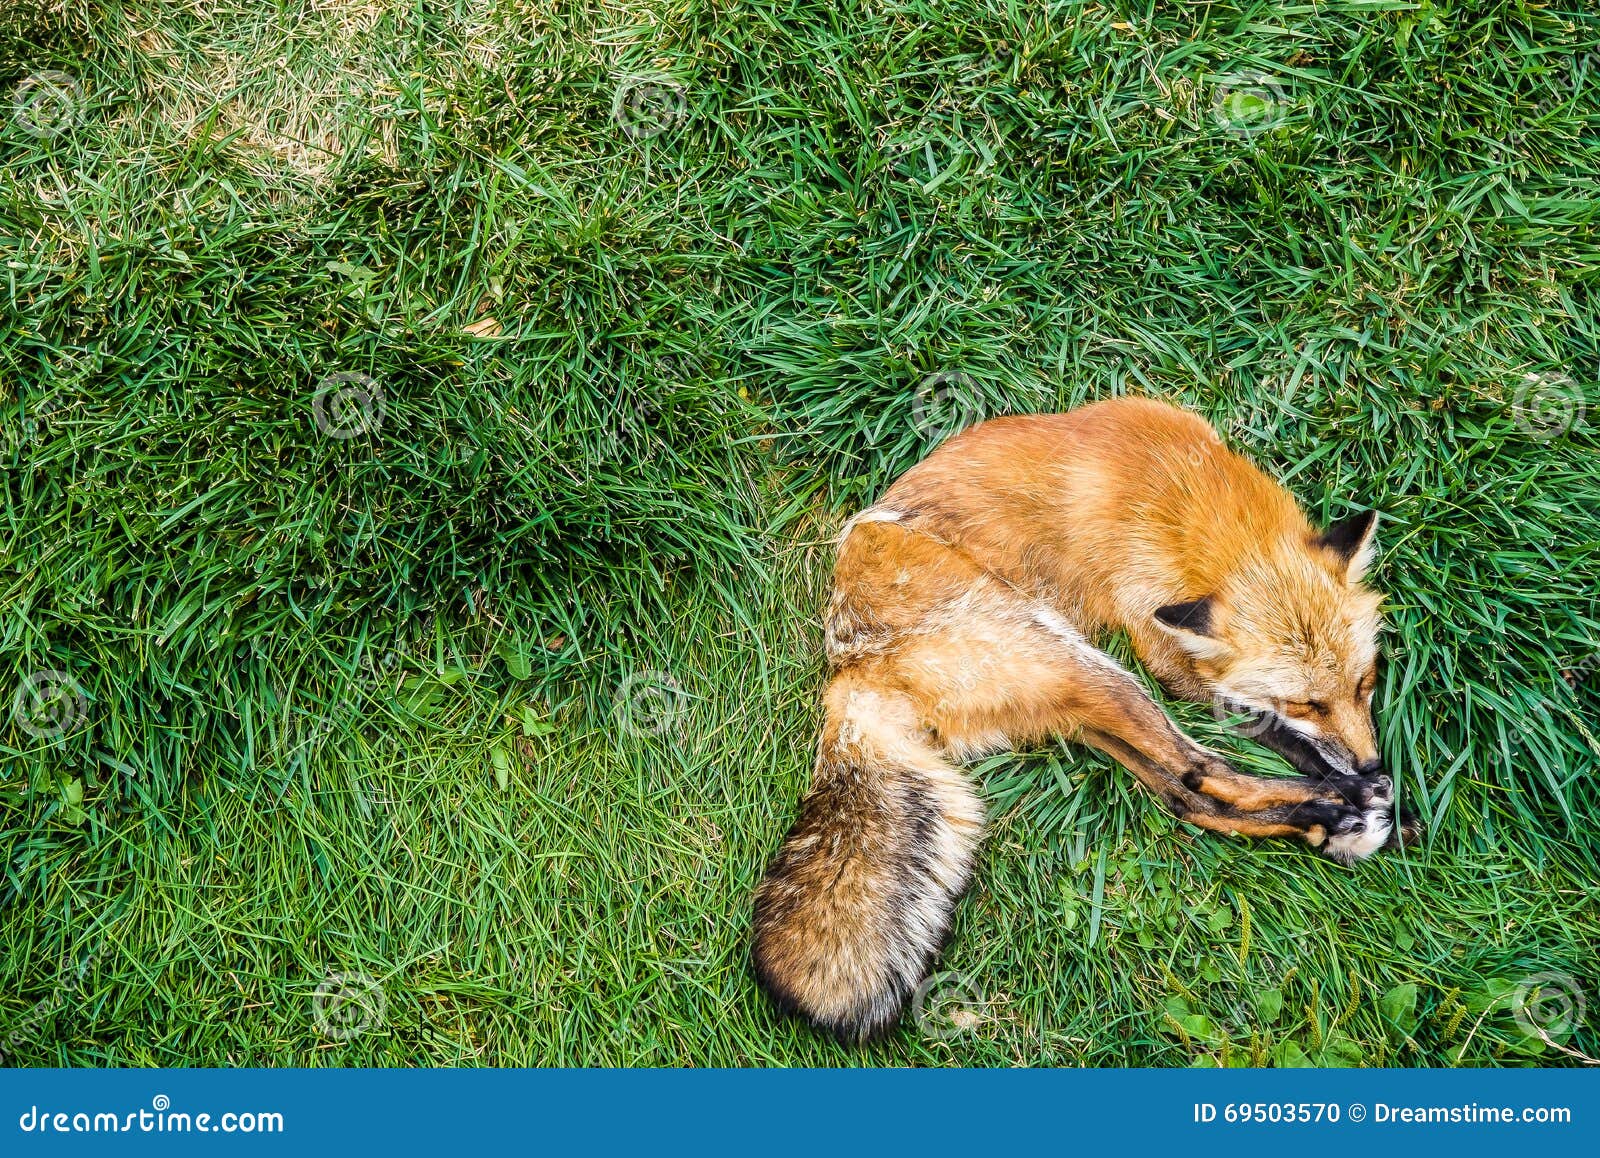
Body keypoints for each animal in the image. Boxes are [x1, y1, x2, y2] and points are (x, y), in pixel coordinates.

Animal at [751, 396, 1420, 1041]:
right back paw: (1334, 808)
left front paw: (1365, 784)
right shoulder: (1156, 642)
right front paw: (1350, 784)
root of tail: (847, 669)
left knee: (1184, 798)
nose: (1370, 763)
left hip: (1078, 702)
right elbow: (1260, 721)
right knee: (1200, 770)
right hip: (1085, 664)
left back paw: (1330, 818)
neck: (1180, 495)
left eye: (1364, 683)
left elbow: (1269, 727)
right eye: (1309, 703)